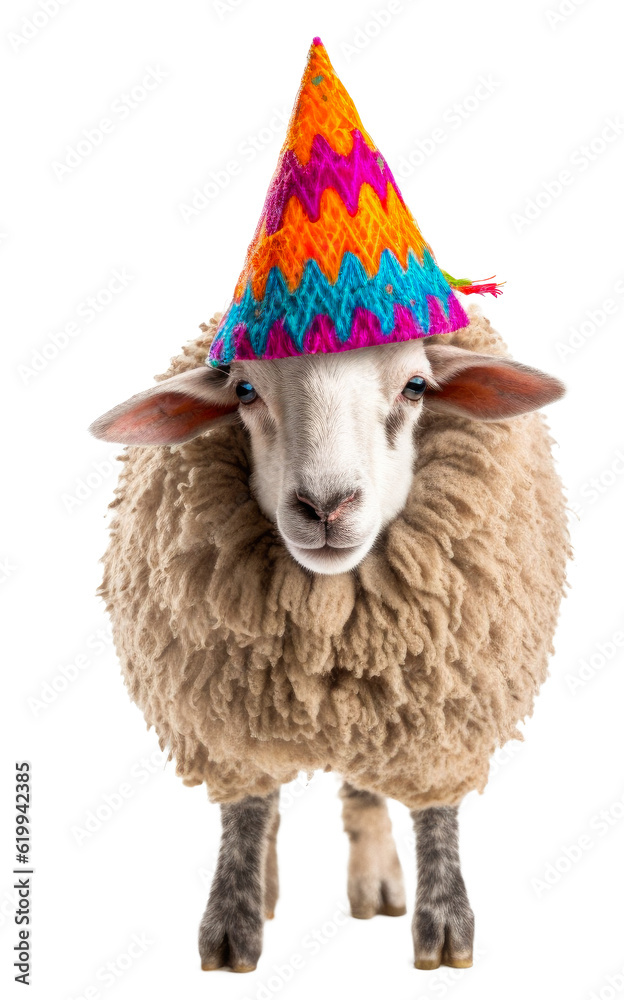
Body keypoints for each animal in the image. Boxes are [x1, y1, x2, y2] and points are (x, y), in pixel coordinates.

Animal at [90, 304, 569, 971]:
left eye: (416, 386)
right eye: (244, 391)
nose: (325, 507)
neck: (328, 633)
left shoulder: (447, 708)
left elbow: (436, 813)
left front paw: (446, 928)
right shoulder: (226, 720)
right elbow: (247, 810)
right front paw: (232, 926)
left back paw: (376, 883)